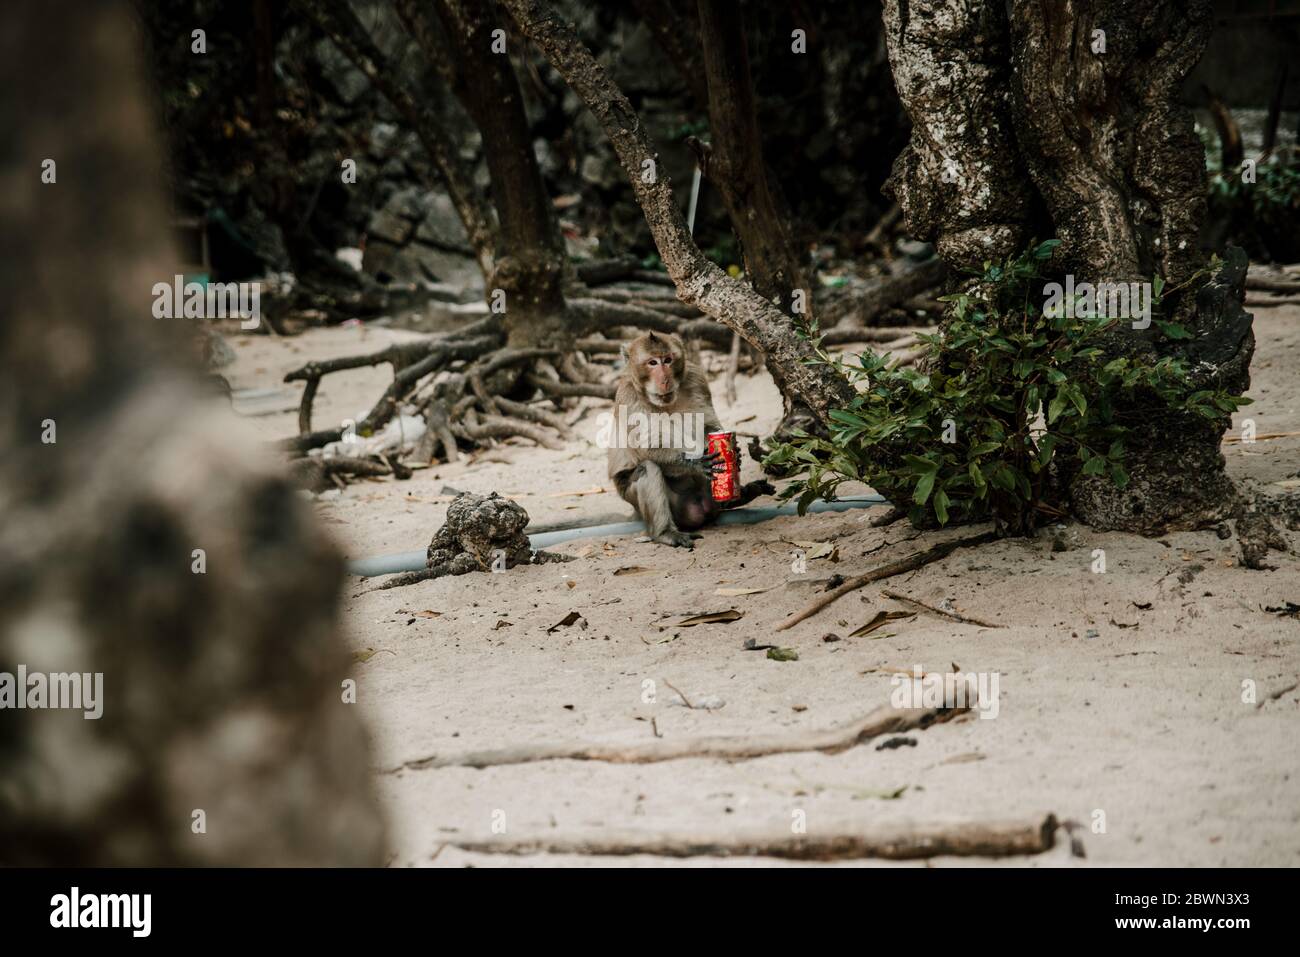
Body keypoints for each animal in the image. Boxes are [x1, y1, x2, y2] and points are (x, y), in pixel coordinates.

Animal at [607, 332, 773, 548]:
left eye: (668, 360)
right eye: (652, 363)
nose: (664, 380)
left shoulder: (696, 378)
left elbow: (708, 426)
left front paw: (733, 452)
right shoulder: (627, 397)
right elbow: (646, 448)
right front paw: (697, 463)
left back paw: (737, 497)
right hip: (655, 502)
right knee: (648, 468)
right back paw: (666, 533)